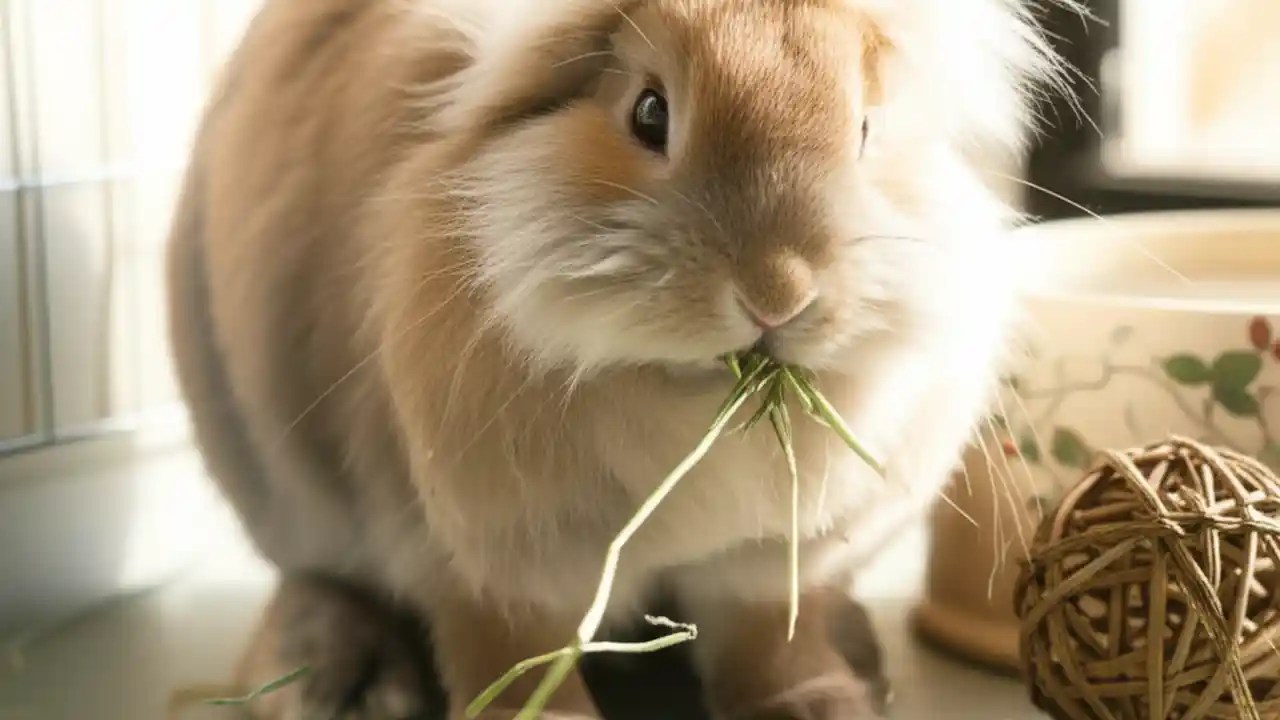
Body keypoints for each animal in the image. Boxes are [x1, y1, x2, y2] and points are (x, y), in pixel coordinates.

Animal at [166, 0, 1074, 717]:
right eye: (648, 114)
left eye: (864, 129)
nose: (778, 290)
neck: (689, 400)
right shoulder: (483, 562)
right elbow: (504, 657)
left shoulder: (761, 565)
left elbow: (767, 644)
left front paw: (818, 706)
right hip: (283, 494)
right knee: (320, 582)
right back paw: (340, 685)